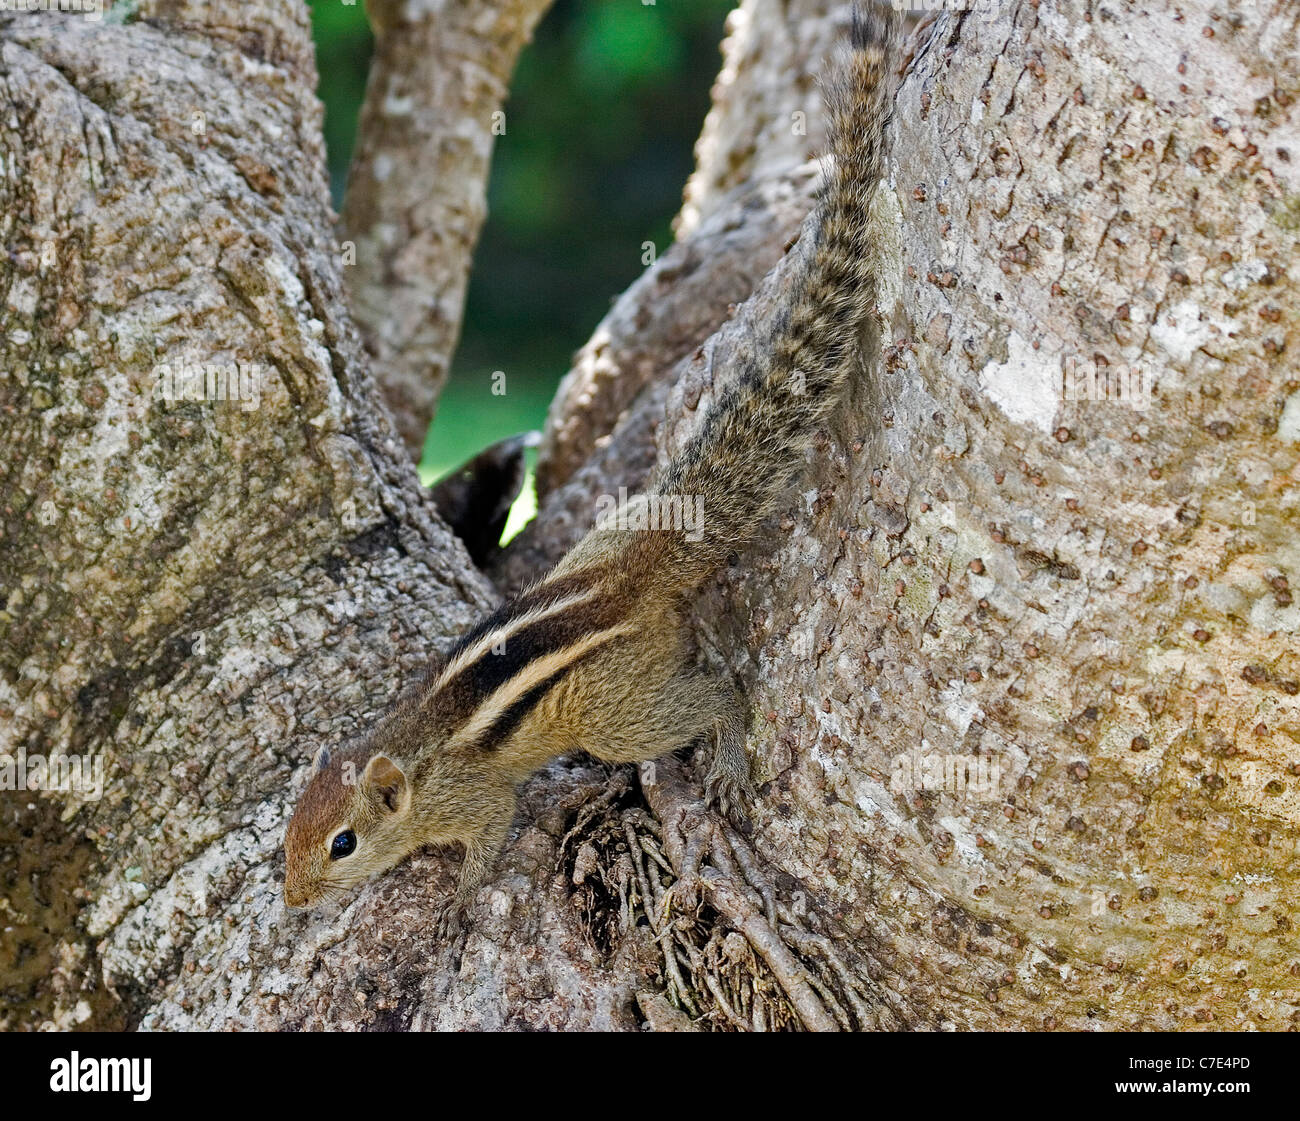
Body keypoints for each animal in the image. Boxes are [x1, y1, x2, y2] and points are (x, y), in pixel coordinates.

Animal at [284, 3, 900, 930]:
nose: (290, 901)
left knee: (713, 694)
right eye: (290, 830)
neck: (412, 751)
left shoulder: (477, 800)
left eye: (342, 843)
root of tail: (635, 570)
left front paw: (459, 901)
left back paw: (725, 746)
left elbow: (488, 836)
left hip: (611, 714)